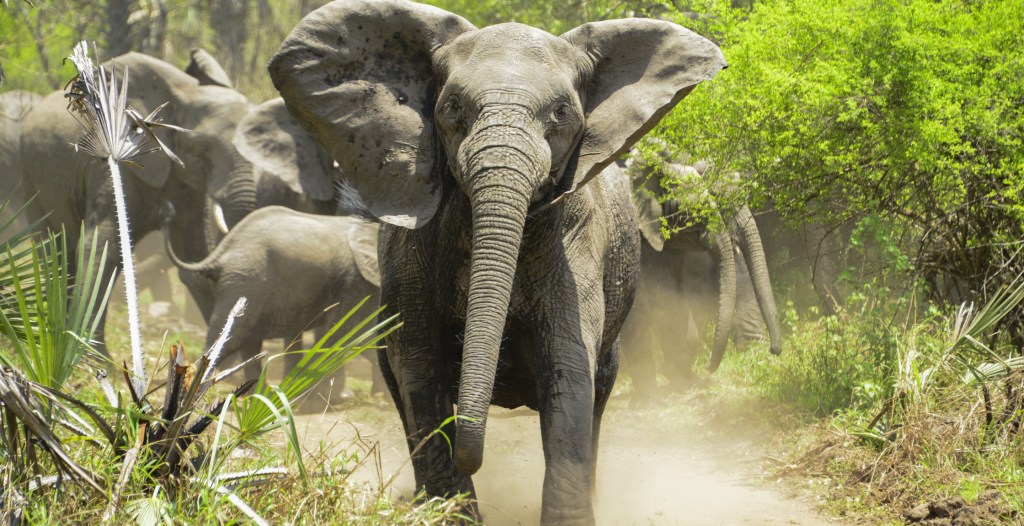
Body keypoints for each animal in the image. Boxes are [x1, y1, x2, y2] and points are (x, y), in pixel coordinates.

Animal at [19, 50, 261, 355]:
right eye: (203, 149)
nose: (166, 214)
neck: (183, 93)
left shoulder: (189, 190)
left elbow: (194, 253)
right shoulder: (111, 164)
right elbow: (102, 247)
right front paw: (94, 358)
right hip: (29, 175)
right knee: (54, 247)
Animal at [159, 202, 383, 408]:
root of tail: (223, 251)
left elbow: (366, 333)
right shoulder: (353, 279)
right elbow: (345, 332)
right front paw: (331, 398)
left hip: (247, 284)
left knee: (249, 342)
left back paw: (262, 395)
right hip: (245, 281)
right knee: (232, 339)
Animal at [261, 0, 726, 522]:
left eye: (562, 113)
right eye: (452, 108)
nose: (473, 453)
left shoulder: (574, 240)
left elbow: (568, 363)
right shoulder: (413, 250)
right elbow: (419, 366)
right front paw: (449, 511)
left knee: (599, 393)